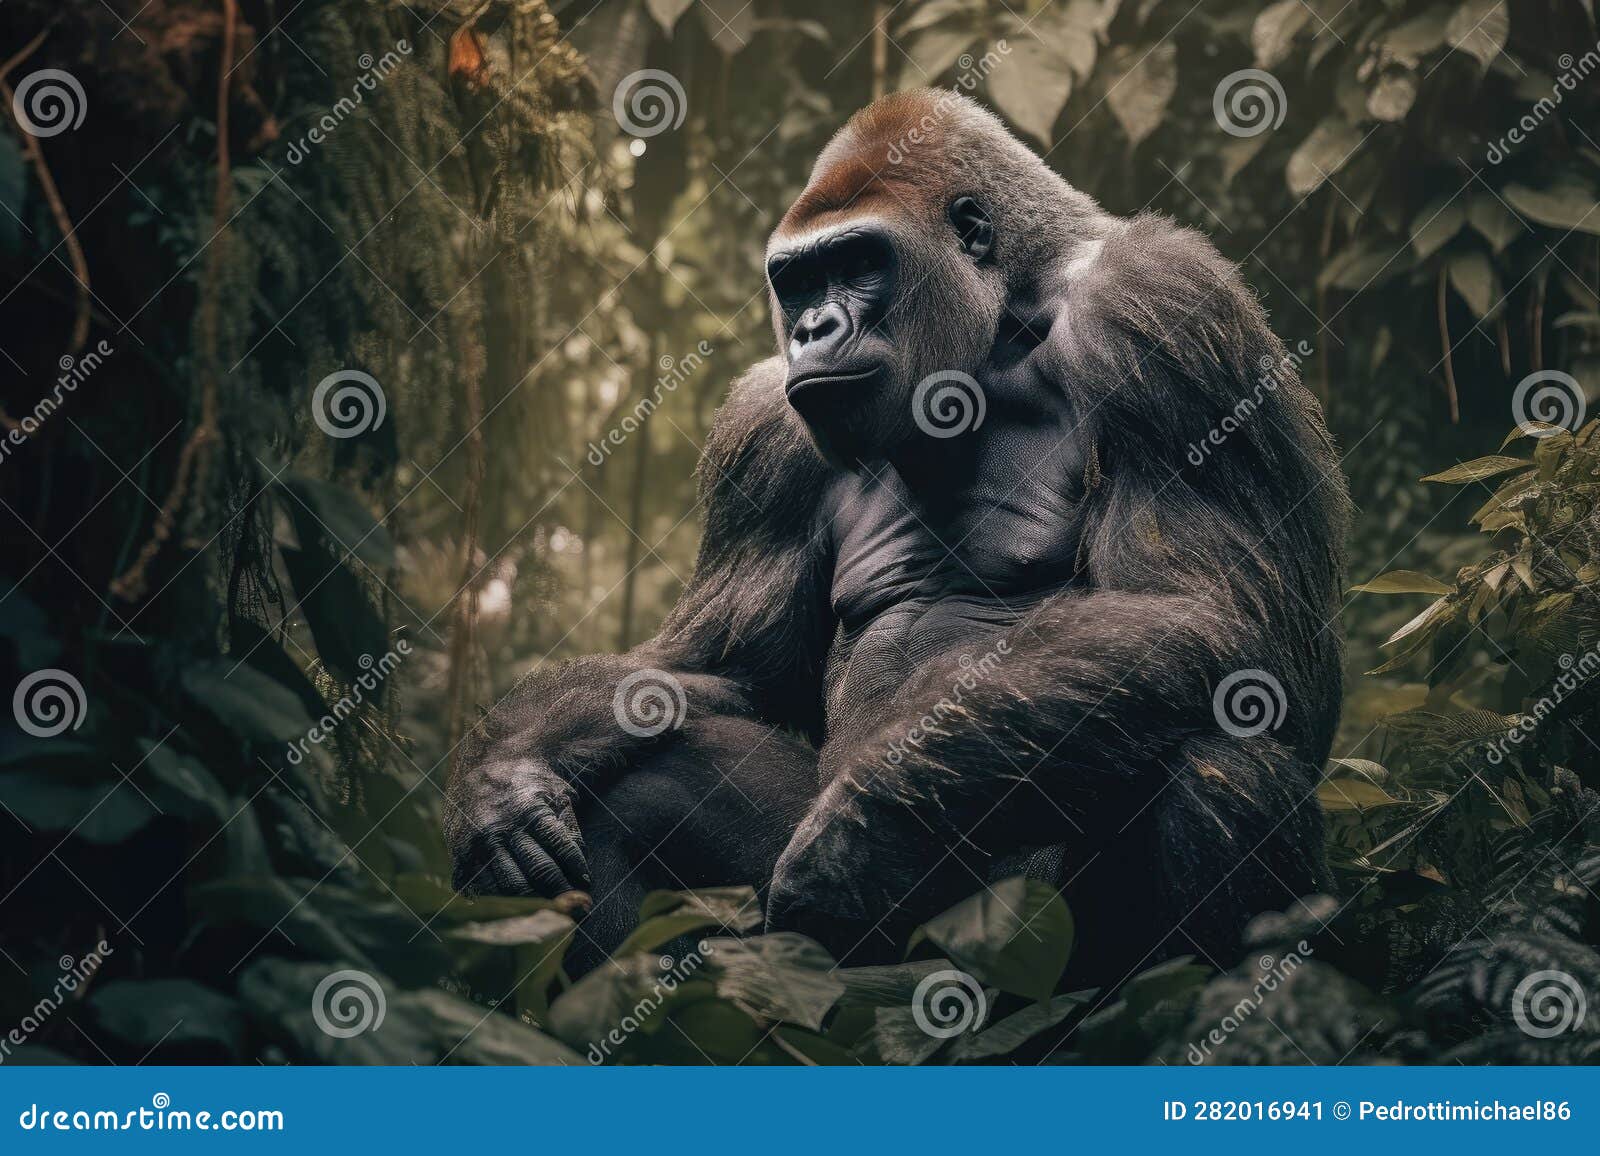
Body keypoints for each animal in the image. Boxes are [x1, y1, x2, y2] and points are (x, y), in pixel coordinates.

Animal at [446, 89, 1349, 983]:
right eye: (797, 279)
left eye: (857, 263)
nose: (810, 330)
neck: (1005, 323)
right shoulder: (764, 431)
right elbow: (711, 672)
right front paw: (507, 770)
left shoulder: (1164, 312)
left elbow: (1205, 615)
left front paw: (859, 832)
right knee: (636, 791)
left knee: (1220, 750)